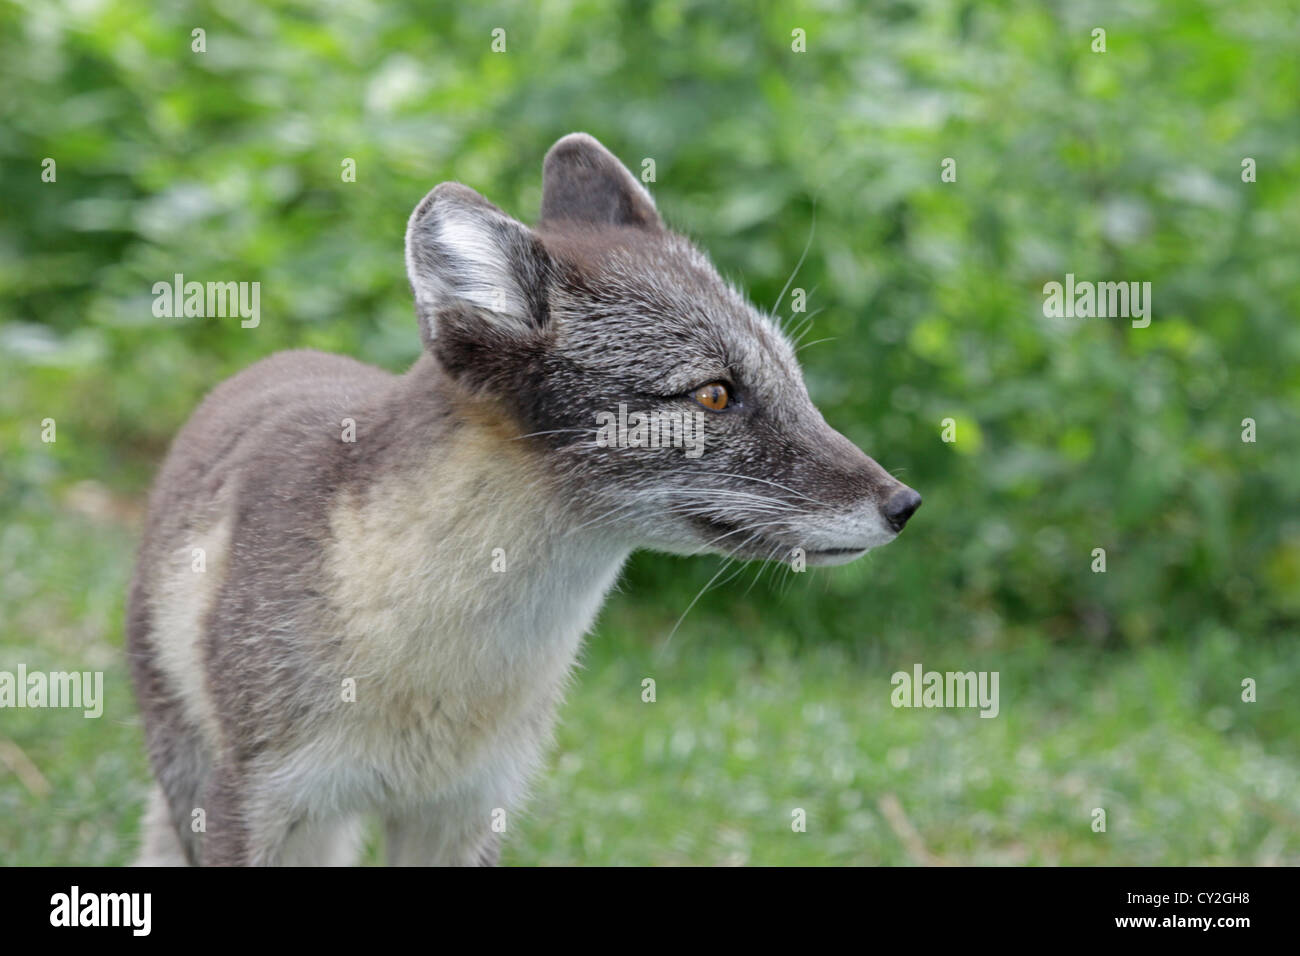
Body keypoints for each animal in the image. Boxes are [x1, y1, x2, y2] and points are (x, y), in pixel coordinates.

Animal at [126, 132, 921, 866]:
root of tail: (275, 364)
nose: (905, 504)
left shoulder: (470, 812)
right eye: (715, 395)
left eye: (794, 380)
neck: (437, 677)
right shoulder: (261, 805)